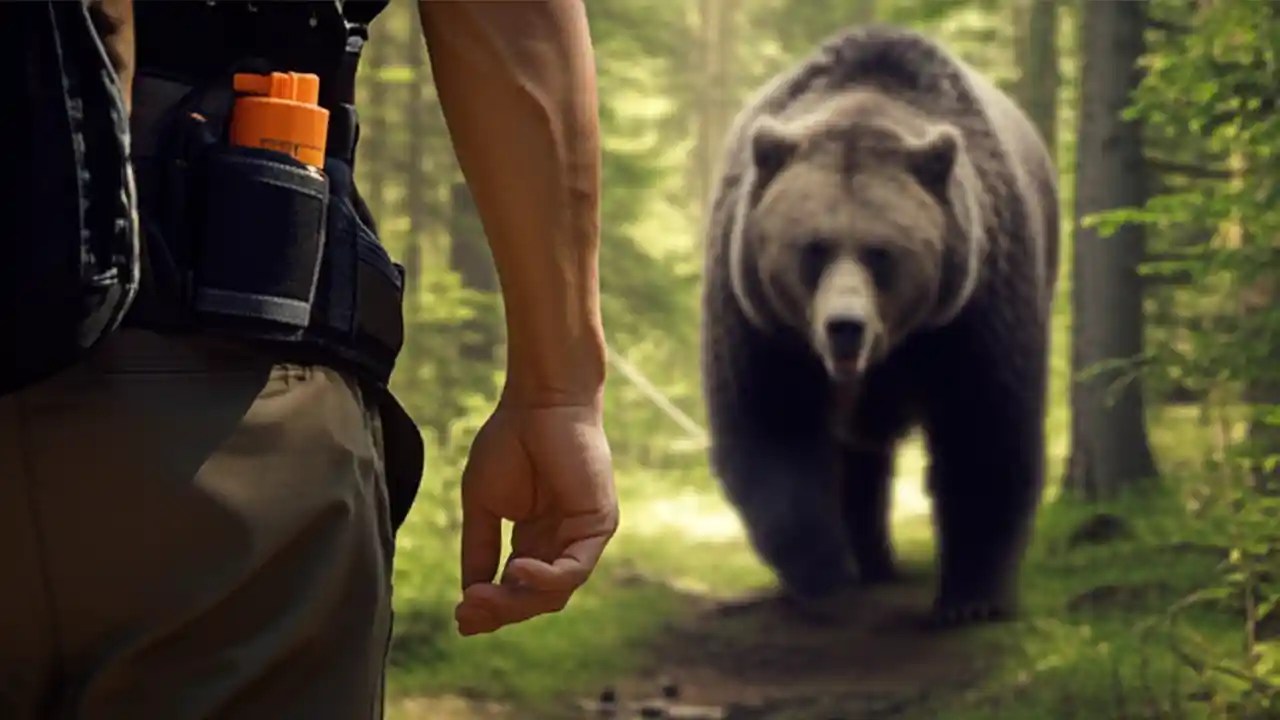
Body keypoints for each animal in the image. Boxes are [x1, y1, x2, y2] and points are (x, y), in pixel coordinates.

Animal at [699, 25, 1060, 627]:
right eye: (813, 249)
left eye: (881, 253)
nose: (845, 326)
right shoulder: (762, 322)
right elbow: (774, 424)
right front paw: (823, 572)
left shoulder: (973, 308)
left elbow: (982, 427)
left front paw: (970, 596)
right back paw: (868, 561)